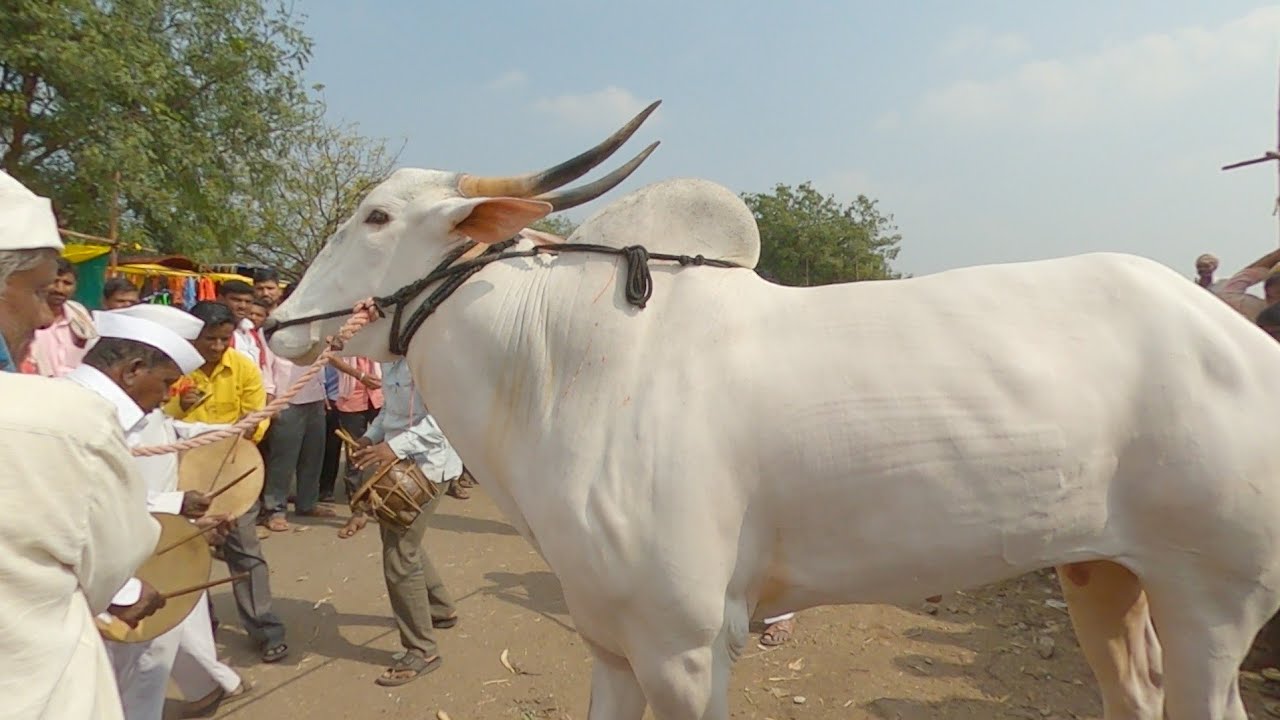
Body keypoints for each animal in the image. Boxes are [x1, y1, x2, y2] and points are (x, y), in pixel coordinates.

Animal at [266, 102, 1280, 720]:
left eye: (376, 218)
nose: (278, 323)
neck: (559, 363)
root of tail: (1242, 342)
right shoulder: (609, 643)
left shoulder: (685, 646)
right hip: (1101, 572)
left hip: (1212, 597)